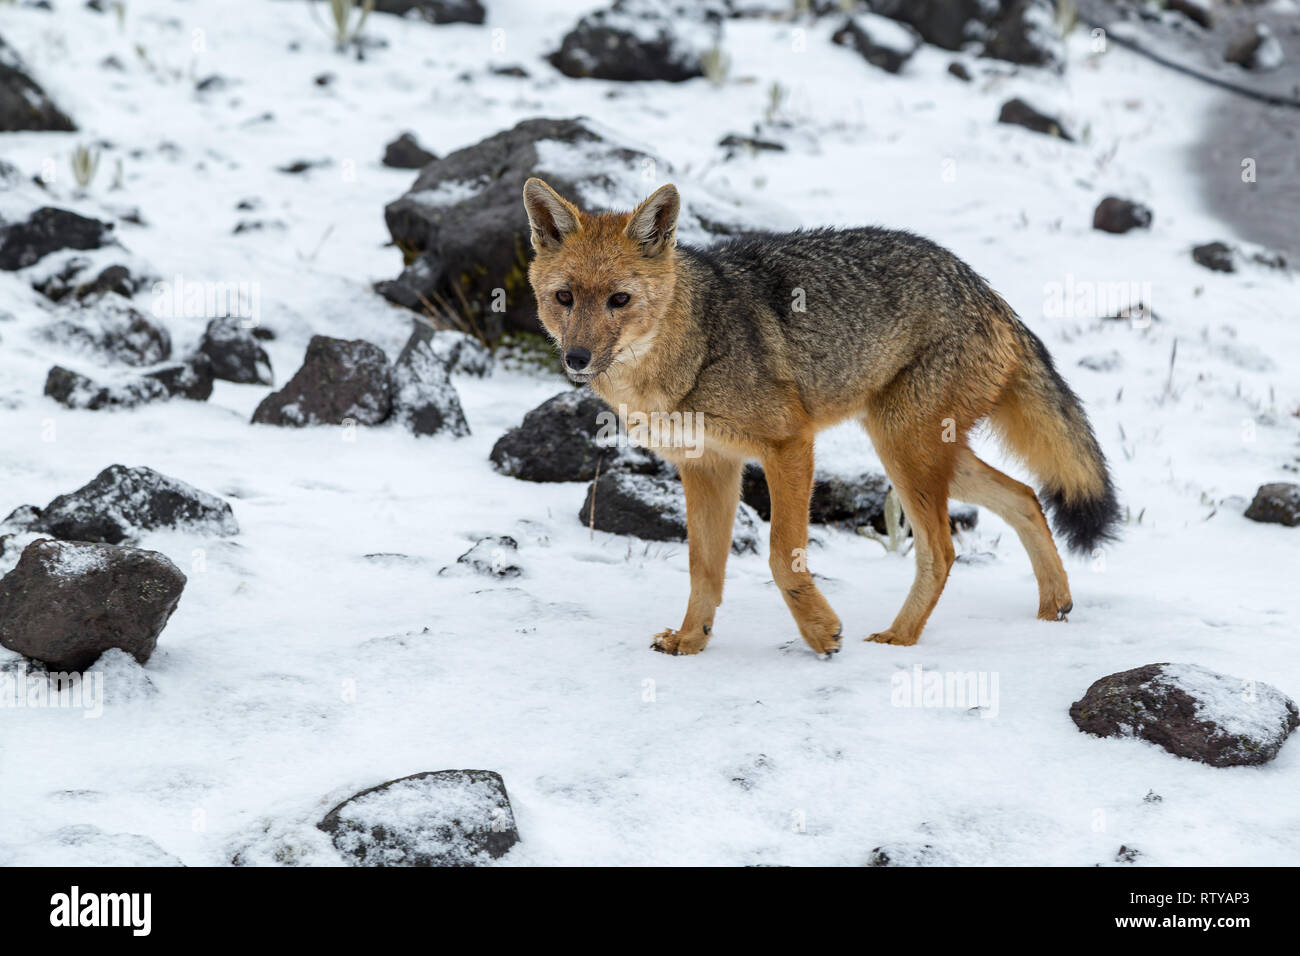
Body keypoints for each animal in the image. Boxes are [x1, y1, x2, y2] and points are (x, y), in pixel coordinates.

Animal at [522, 177, 1121, 655]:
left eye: (619, 300)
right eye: (565, 297)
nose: (577, 359)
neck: (689, 352)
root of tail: (984, 288)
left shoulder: (789, 445)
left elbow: (779, 557)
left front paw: (819, 632)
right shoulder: (707, 465)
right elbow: (704, 570)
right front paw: (691, 642)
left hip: (905, 452)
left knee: (944, 549)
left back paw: (899, 637)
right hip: (929, 456)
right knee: (1025, 496)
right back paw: (1052, 609)